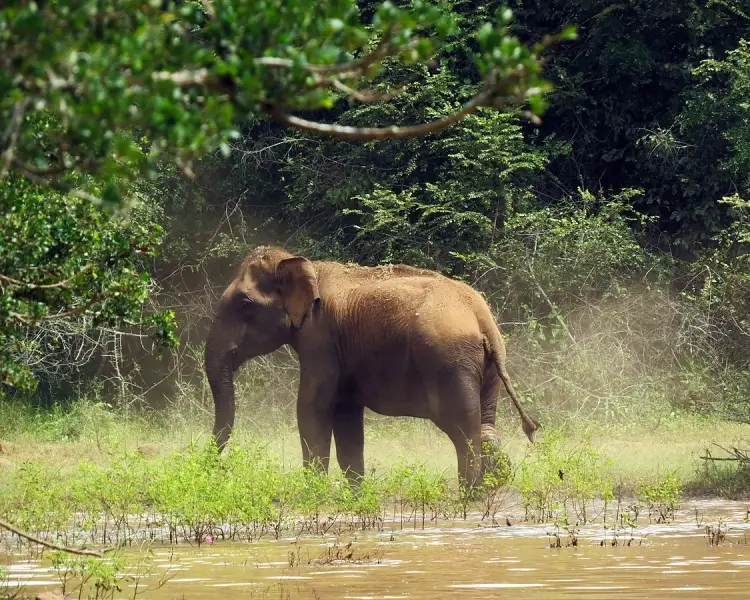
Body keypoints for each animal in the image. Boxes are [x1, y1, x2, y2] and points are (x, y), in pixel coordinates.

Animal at [204, 246, 540, 488]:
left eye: (244, 303)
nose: (220, 469)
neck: (307, 265)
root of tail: (482, 319)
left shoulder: (320, 338)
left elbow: (312, 407)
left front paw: (312, 494)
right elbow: (346, 414)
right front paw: (356, 495)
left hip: (449, 363)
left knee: (462, 431)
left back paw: (469, 495)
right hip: (487, 367)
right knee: (485, 428)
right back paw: (488, 489)